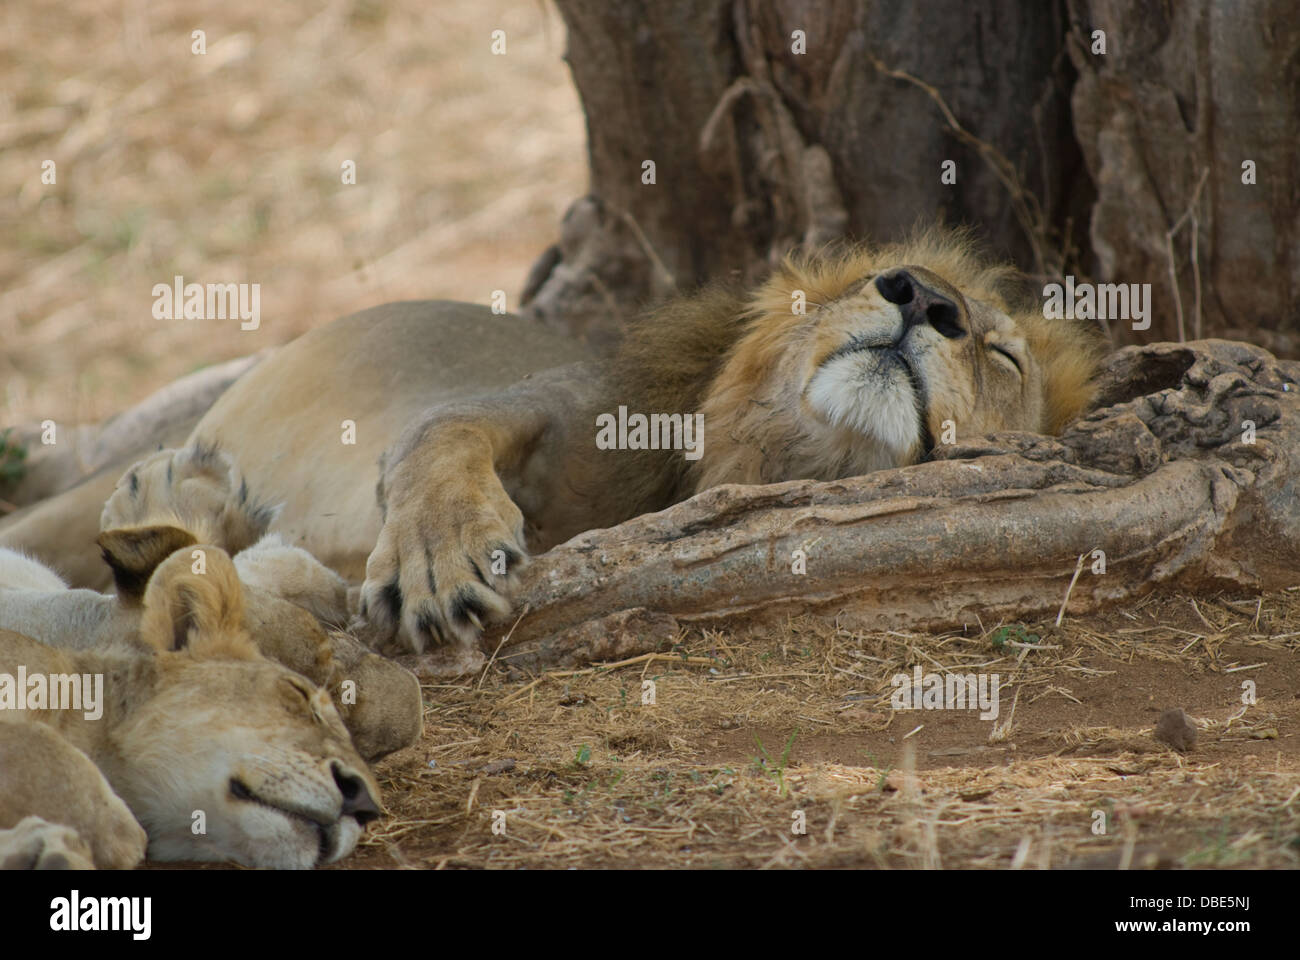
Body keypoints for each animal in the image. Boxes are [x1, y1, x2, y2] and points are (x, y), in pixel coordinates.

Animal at [2, 231, 1104, 655]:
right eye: (870, 282)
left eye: (1003, 355)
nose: (920, 295)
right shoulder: (567, 400)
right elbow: (438, 441)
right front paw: (438, 559)